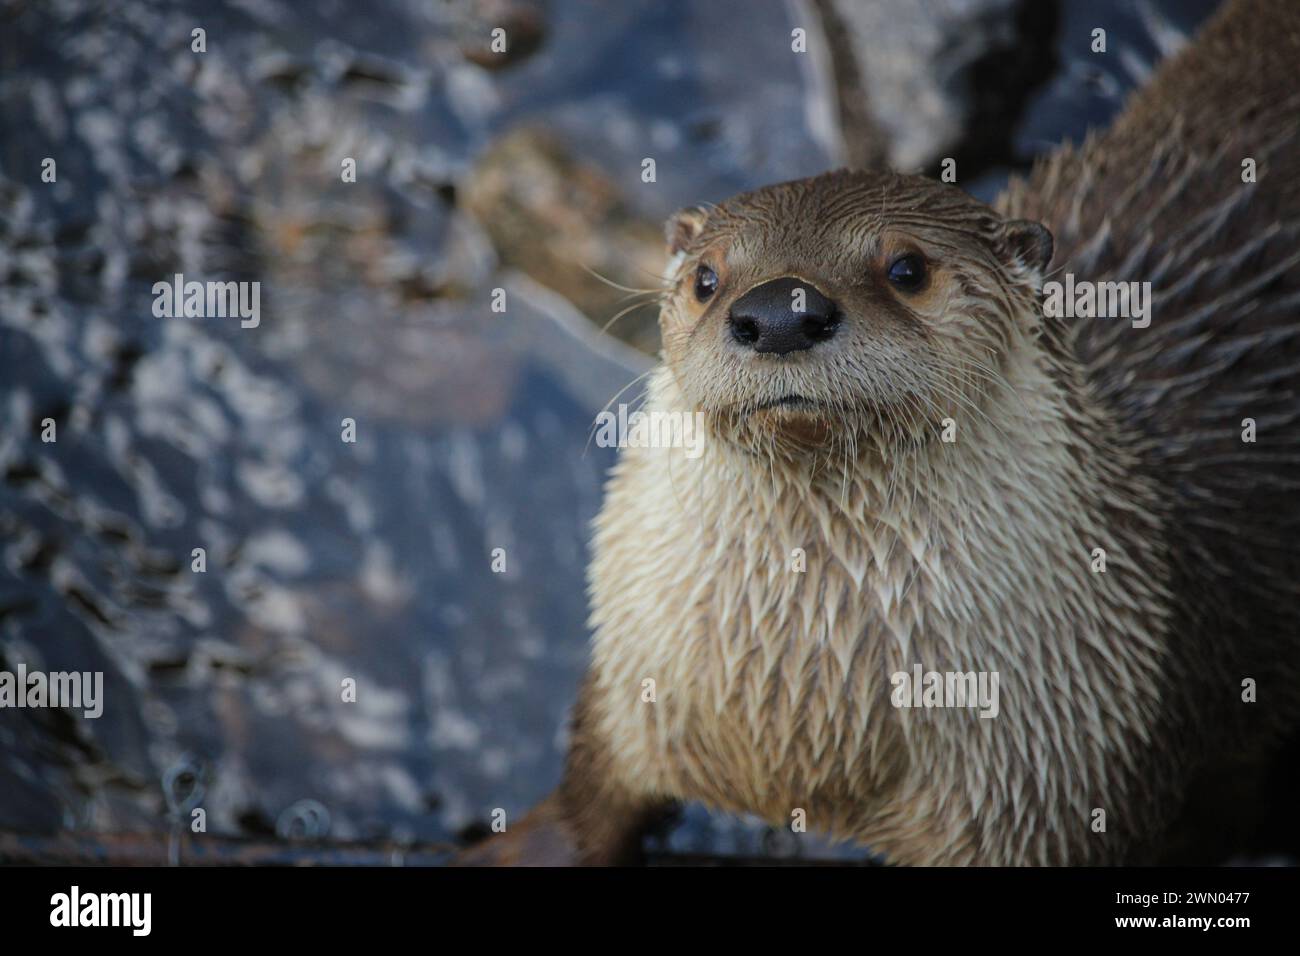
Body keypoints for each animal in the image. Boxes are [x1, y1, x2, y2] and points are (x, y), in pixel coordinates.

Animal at [460, 0, 1300, 865]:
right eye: (705, 277)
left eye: (907, 269)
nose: (780, 311)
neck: (806, 733)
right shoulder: (637, 677)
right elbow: (591, 789)